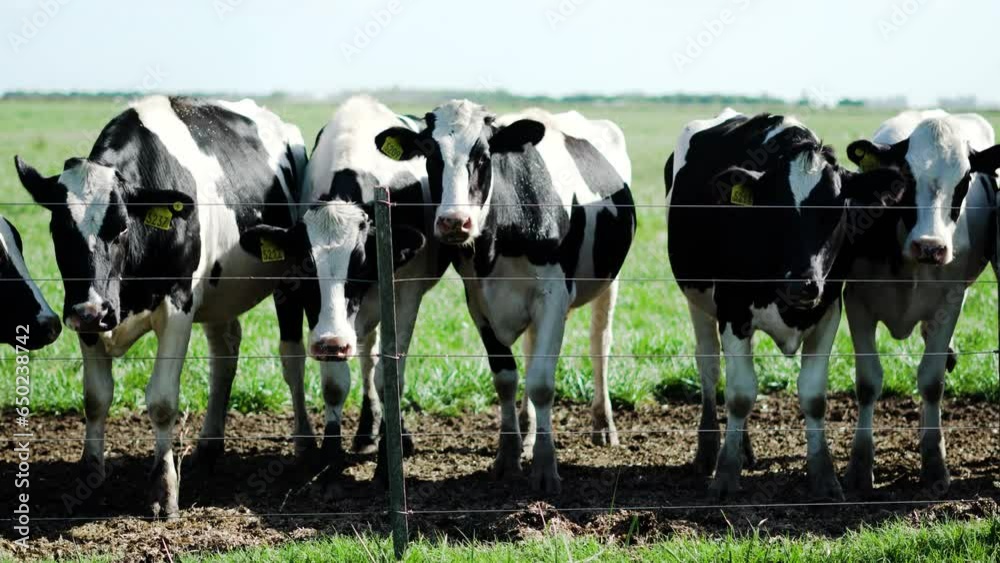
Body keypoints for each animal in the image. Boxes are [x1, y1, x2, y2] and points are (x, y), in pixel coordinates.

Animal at [14, 95, 307, 519]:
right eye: (57, 229)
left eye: (121, 226)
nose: (91, 311)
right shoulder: (88, 315)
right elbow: (95, 398)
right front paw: (88, 479)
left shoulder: (177, 305)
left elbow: (162, 401)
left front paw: (163, 490)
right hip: (218, 295)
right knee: (225, 355)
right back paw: (209, 447)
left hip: (290, 277)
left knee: (292, 359)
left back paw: (304, 444)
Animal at [239, 95, 441, 470]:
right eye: (306, 267)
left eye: (361, 265)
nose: (333, 343)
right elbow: (335, 382)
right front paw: (330, 451)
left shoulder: (406, 291)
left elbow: (392, 371)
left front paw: (389, 455)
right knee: (366, 355)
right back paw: (365, 430)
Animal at [374, 100, 637, 494]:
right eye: (429, 153)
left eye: (484, 156)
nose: (454, 222)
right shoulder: (479, 301)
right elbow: (506, 378)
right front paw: (509, 457)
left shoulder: (553, 294)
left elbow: (542, 382)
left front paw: (545, 469)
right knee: (529, 352)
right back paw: (528, 432)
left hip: (609, 281)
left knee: (599, 344)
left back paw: (603, 426)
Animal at [665, 110, 906, 499]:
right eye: (774, 209)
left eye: (835, 209)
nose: (802, 282)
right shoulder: (732, 311)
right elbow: (740, 394)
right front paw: (725, 475)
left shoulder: (828, 311)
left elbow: (813, 396)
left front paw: (824, 477)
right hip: (698, 300)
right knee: (710, 368)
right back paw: (708, 452)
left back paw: (745, 450)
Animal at [842, 110, 1000, 493]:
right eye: (906, 178)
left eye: (964, 181)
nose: (930, 246)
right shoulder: (857, 301)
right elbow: (867, 383)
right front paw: (859, 467)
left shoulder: (951, 303)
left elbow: (931, 381)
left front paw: (934, 465)